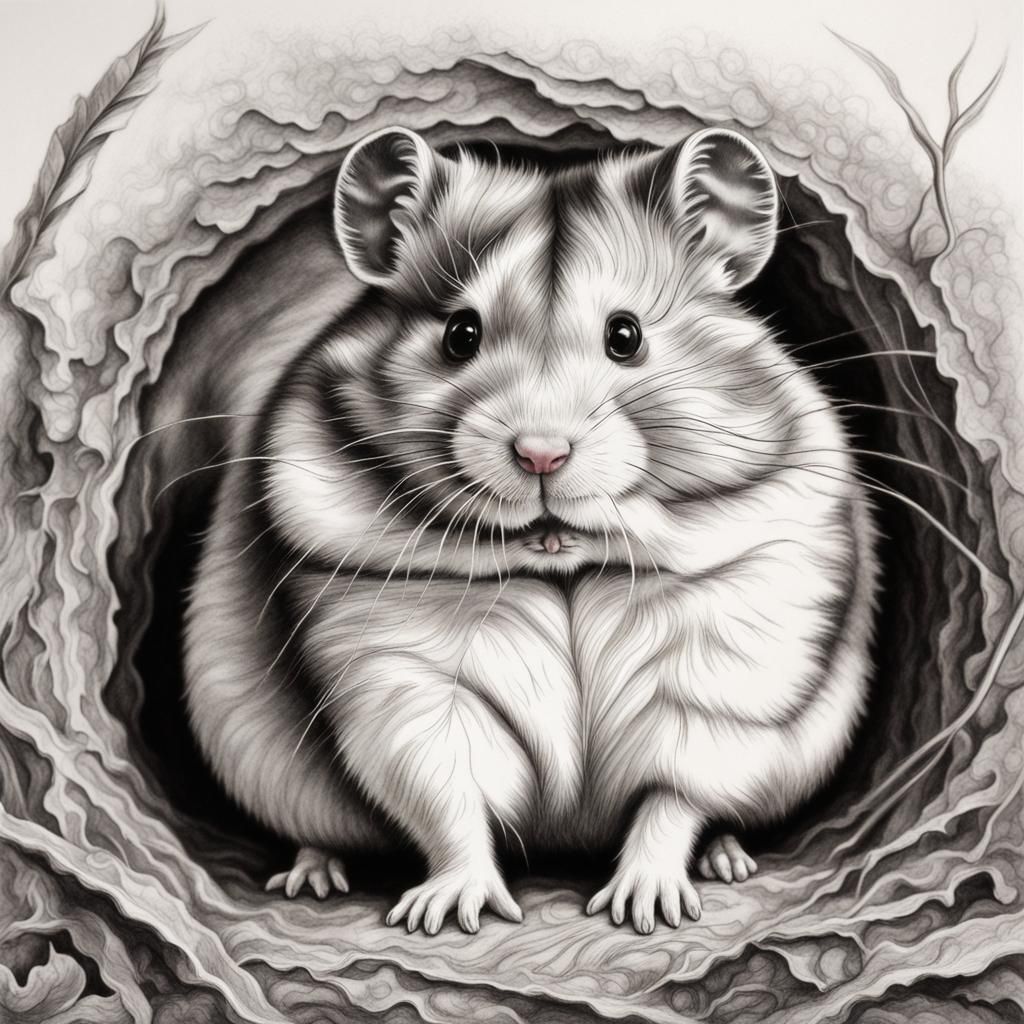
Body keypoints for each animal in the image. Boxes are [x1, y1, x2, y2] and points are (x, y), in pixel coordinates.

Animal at [184, 125, 878, 935]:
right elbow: (446, 794)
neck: (562, 569)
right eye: (460, 333)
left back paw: (728, 859)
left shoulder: (725, 669)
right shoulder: (399, 674)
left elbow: (673, 793)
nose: (541, 453)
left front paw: (644, 908)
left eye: (625, 334)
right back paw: (311, 877)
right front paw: (444, 913)